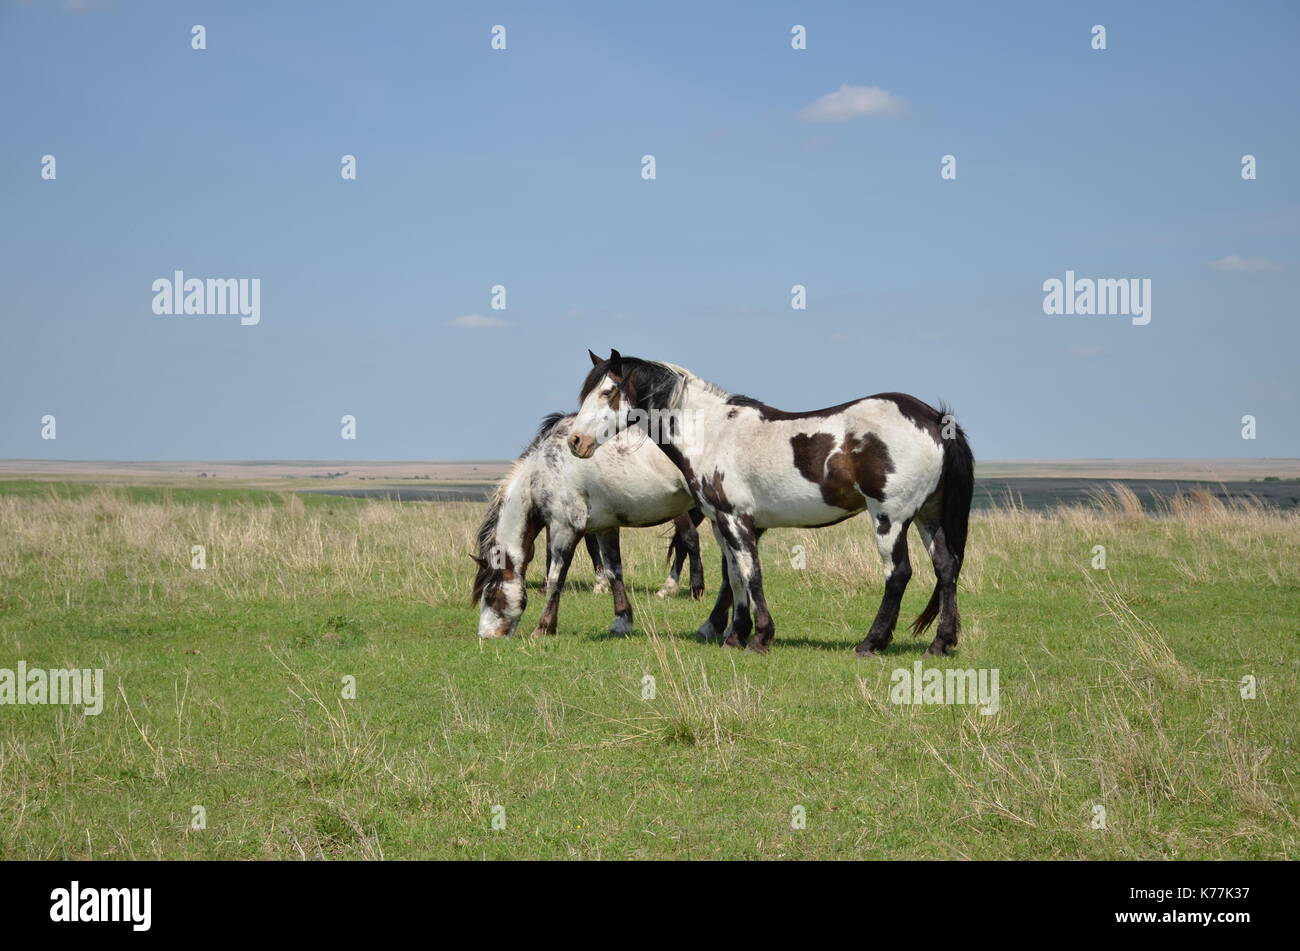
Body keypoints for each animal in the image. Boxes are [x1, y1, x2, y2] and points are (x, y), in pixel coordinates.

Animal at [472, 410, 707, 640]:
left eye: (490, 595)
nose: (485, 636)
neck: (544, 470)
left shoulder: (564, 529)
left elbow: (556, 577)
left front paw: (544, 627)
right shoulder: (606, 528)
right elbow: (614, 571)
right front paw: (622, 621)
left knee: (691, 540)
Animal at [566, 350, 974, 657]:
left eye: (608, 392)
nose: (576, 441)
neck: (714, 433)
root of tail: (934, 418)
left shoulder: (737, 520)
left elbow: (751, 574)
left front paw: (759, 637)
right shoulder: (722, 522)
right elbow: (733, 576)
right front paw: (735, 635)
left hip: (890, 518)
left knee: (899, 574)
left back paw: (870, 643)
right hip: (927, 517)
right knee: (946, 568)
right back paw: (940, 643)